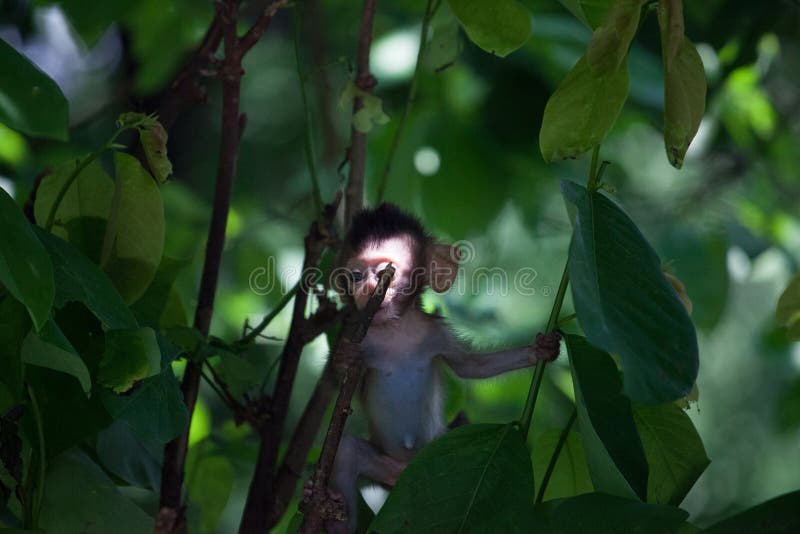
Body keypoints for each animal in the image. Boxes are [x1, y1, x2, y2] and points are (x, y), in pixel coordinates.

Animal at [321, 203, 561, 533]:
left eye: (385, 273)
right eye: (356, 275)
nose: (369, 288)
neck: (397, 330)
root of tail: (404, 473)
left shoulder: (436, 332)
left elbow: (471, 367)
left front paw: (537, 351)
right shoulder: (356, 331)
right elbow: (339, 384)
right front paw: (345, 360)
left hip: (436, 450)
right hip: (385, 465)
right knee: (346, 452)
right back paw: (331, 512)